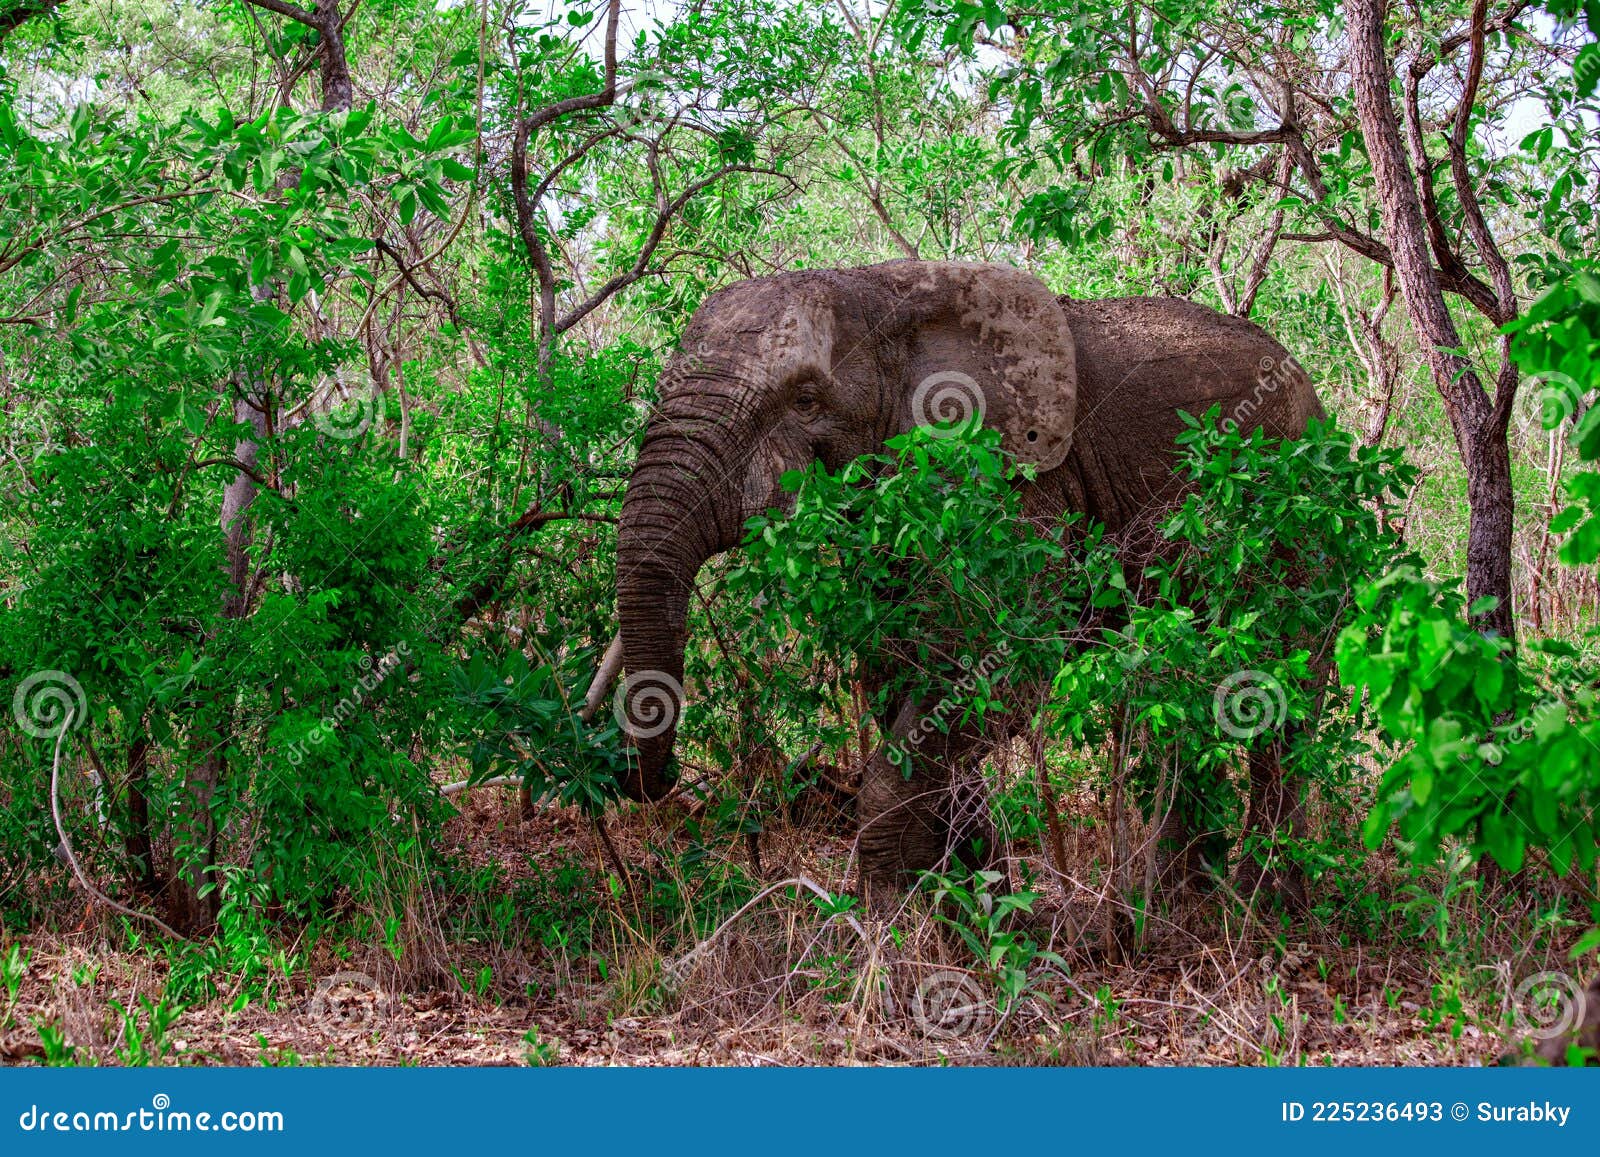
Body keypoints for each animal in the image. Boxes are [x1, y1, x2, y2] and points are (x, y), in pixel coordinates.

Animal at [614, 260, 1323, 895]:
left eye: (806, 401)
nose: (660, 780)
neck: (883, 290)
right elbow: (895, 672)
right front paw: (968, 892)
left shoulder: (1021, 483)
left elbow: (997, 666)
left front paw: (890, 915)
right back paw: (1181, 898)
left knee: (1282, 694)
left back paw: (1261, 900)